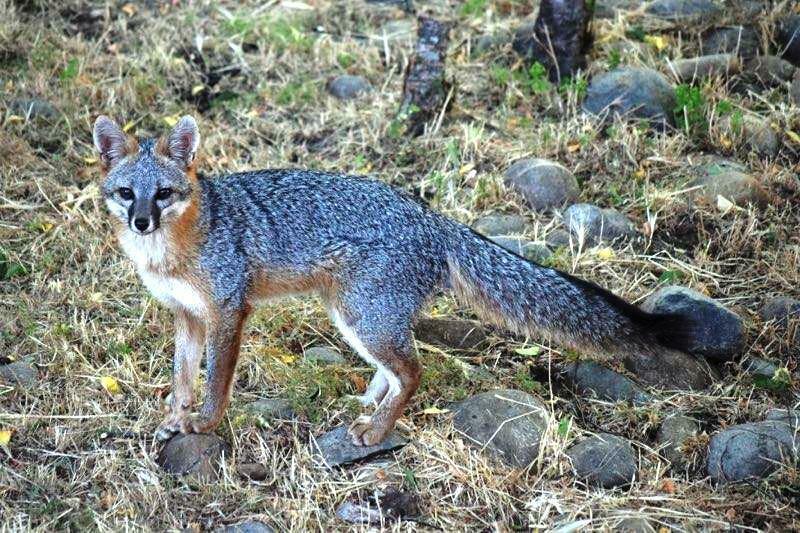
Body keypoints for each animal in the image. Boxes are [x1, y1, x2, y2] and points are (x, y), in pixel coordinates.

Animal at [94, 114, 697, 446]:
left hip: (363, 316)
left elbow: (216, 379)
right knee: (394, 369)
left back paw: (378, 431)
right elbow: (183, 378)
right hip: (353, 317)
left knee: (413, 371)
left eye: (162, 194)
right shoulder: (186, 314)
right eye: (127, 194)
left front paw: (204, 424)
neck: (171, 251)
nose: (141, 221)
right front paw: (175, 419)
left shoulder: (227, 310)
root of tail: (432, 217)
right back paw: (369, 405)